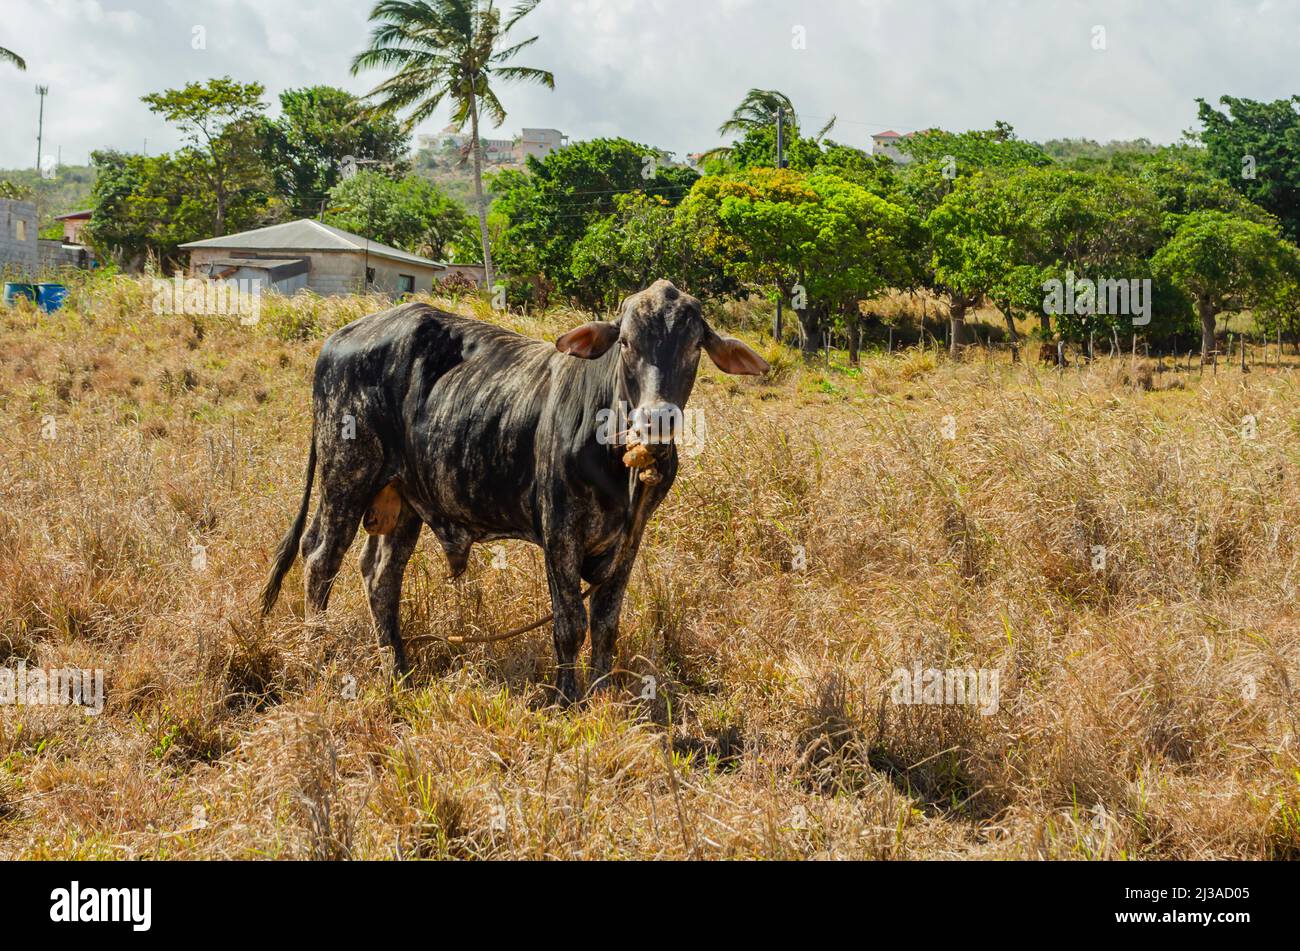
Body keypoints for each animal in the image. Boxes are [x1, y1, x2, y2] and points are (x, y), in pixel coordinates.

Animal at [259, 280, 769, 703]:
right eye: (626, 342)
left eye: (694, 347)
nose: (655, 422)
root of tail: (338, 337)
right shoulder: (559, 531)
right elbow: (570, 624)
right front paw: (568, 700)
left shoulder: (630, 539)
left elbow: (606, 625)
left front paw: (602, 695)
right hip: (345, 477)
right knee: (320, 558)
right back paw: (320, 654)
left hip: (404, 502)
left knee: (381, 576)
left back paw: (399, 671)